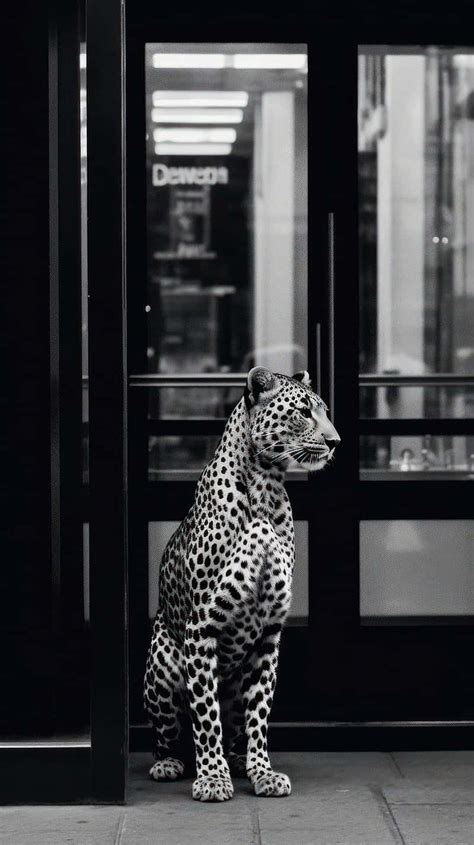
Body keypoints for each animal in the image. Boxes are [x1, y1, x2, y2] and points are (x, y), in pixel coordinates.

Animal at [144, 366, 341, 802]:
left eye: (325, 411)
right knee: (168, 735)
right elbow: (206, 715)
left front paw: (262, 772)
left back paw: (238, 761)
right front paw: (212, 779)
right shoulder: (202, 627)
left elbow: (258, 714)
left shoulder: (269, 632)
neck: (267, 485)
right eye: (304, 412)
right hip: (162, 664)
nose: (335, 441)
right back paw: (172, 763)